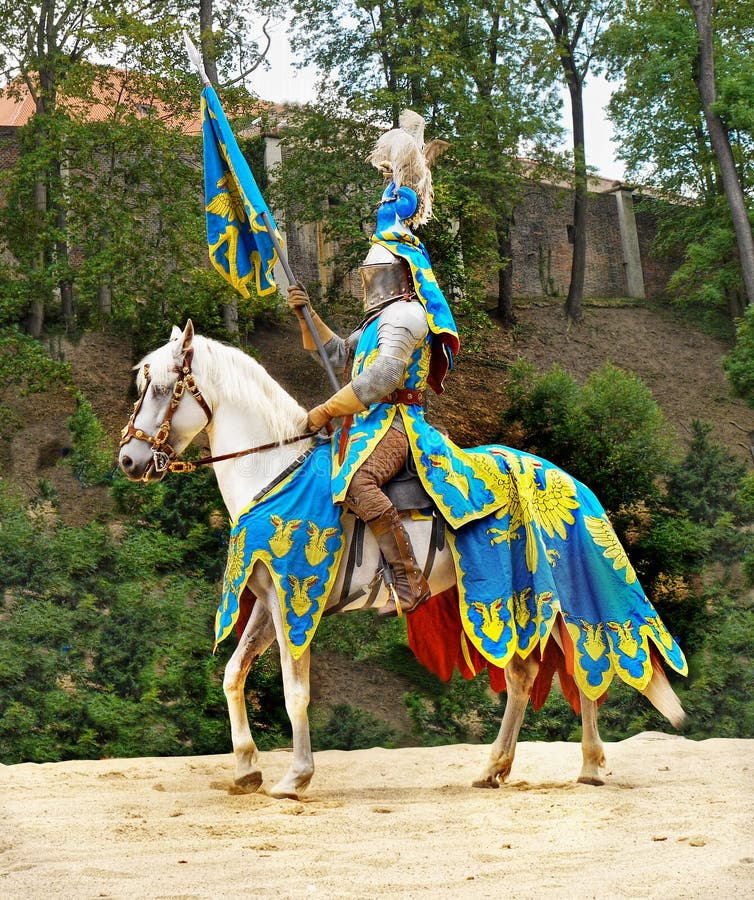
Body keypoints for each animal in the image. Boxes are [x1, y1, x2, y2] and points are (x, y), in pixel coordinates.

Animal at [118, 321, 686, 800]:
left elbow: (294, 691)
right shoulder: (267, 596)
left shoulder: (294, 599)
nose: (129, 459)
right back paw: (495, 767)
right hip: (504, 598)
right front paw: (245, 768)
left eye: (163, 389)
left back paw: (587, 765)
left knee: (587, 657)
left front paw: (295, 776)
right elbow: (233, 675)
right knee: (527, 674)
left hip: (547, 594)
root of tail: (569, 480)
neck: (276, 468)